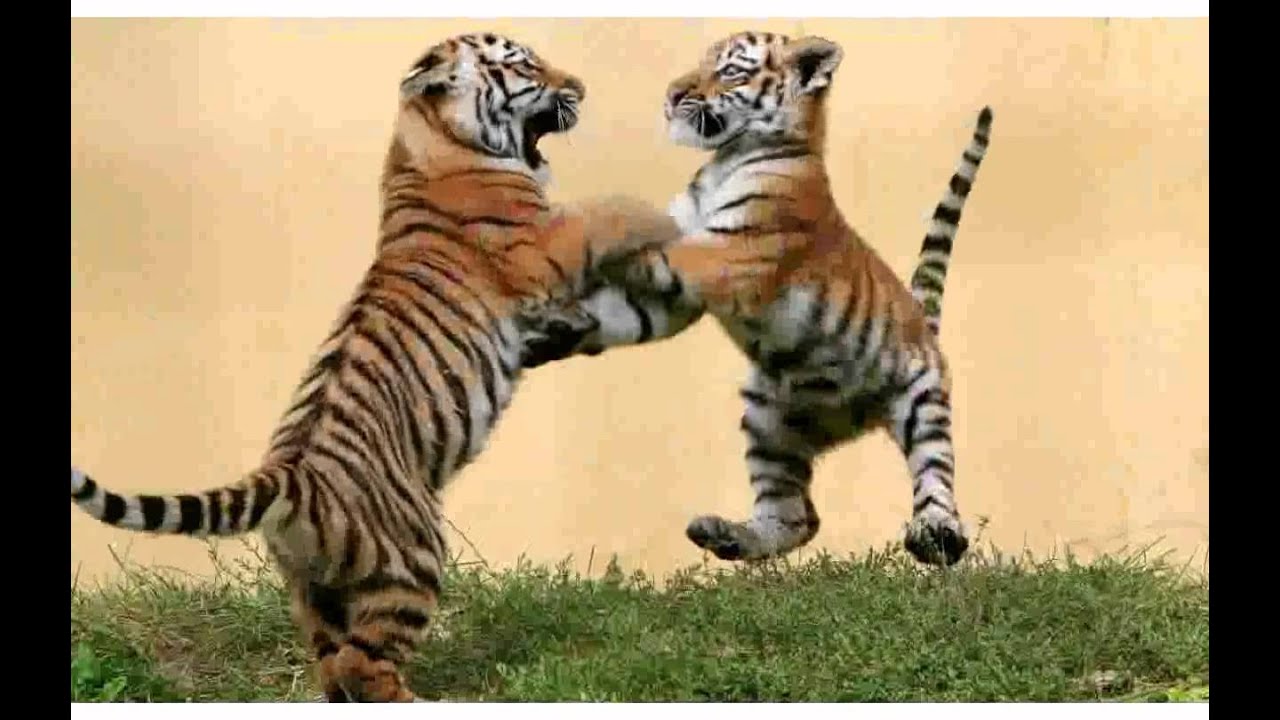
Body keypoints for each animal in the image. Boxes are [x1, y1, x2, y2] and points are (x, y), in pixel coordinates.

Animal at [70, 32, 686, 703]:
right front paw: (664, 218)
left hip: (312, 592)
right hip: (412, 558)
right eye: (525, 64)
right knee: (363, 666)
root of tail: (293, 478)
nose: (579, 87)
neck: (428, 137)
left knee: (334, 665)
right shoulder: (541, 247)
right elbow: (606, 213)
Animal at [520, 32, 994, 568]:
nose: (673, 94)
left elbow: (653, 253)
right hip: (767, 420)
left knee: (934, 474)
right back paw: (724, 535)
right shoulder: (681, 294)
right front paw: (551, 330)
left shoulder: (725, 255)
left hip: (921, 402)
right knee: (796, 517)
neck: (728, 158)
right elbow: (624, 311)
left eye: (729, 71)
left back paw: (937, 535)